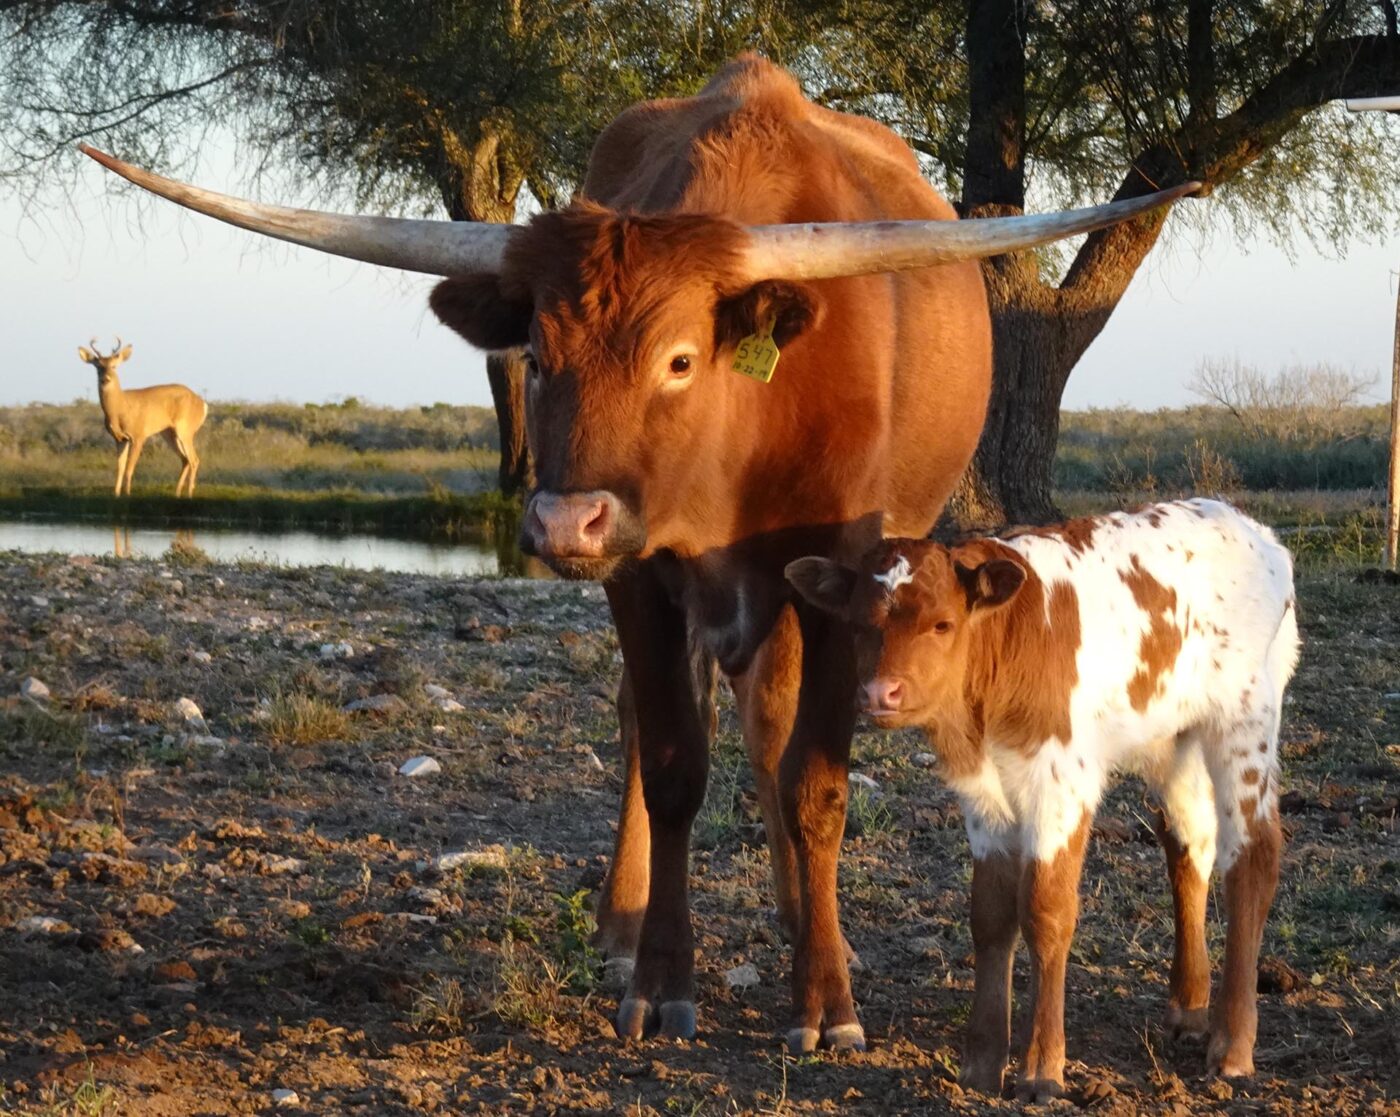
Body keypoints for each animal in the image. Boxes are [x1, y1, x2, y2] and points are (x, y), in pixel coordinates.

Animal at [81, 56, 1195, 1053]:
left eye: (680, 360)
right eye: (536, 356)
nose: (561, 523)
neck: (746, 426)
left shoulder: (842, 580)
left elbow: (815, 783)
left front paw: (825, 997)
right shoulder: (639, 583)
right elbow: (669, 764)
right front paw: (658, 980)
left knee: (773, 736)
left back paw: (802, 918)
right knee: (667, 726)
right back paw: (629, 922)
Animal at [786, 499, 1299, 1098]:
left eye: (943, 623)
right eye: (859, 624)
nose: (879, 693)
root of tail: (1250, 527)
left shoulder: (1060, 784)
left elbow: (1045, 911)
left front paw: (1040, 1069)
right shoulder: (983, 797)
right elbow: (990, 914)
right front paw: (982, 1062)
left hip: (1245, 720)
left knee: (1253, 854)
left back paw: (1233, 1042)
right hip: (1174, 737)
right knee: (1190, 839)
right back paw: (1189, 1008)